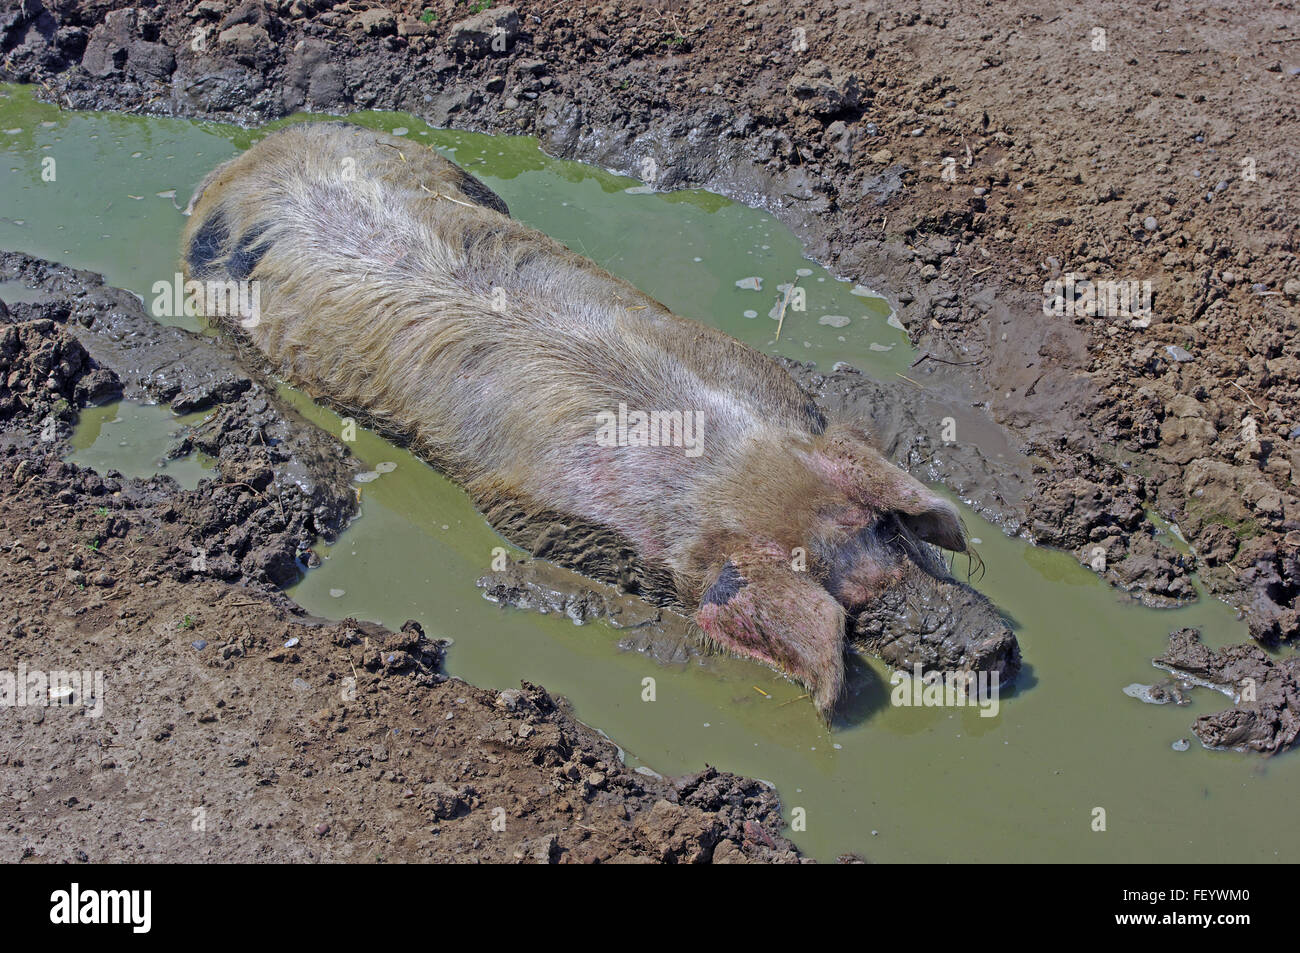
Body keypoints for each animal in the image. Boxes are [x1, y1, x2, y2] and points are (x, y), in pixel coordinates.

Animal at [182, 121, 989, 719]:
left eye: (888, 531)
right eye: (849, 606)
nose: (993, 649)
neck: (718, 464)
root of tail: (239, 162)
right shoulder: (530, 513)